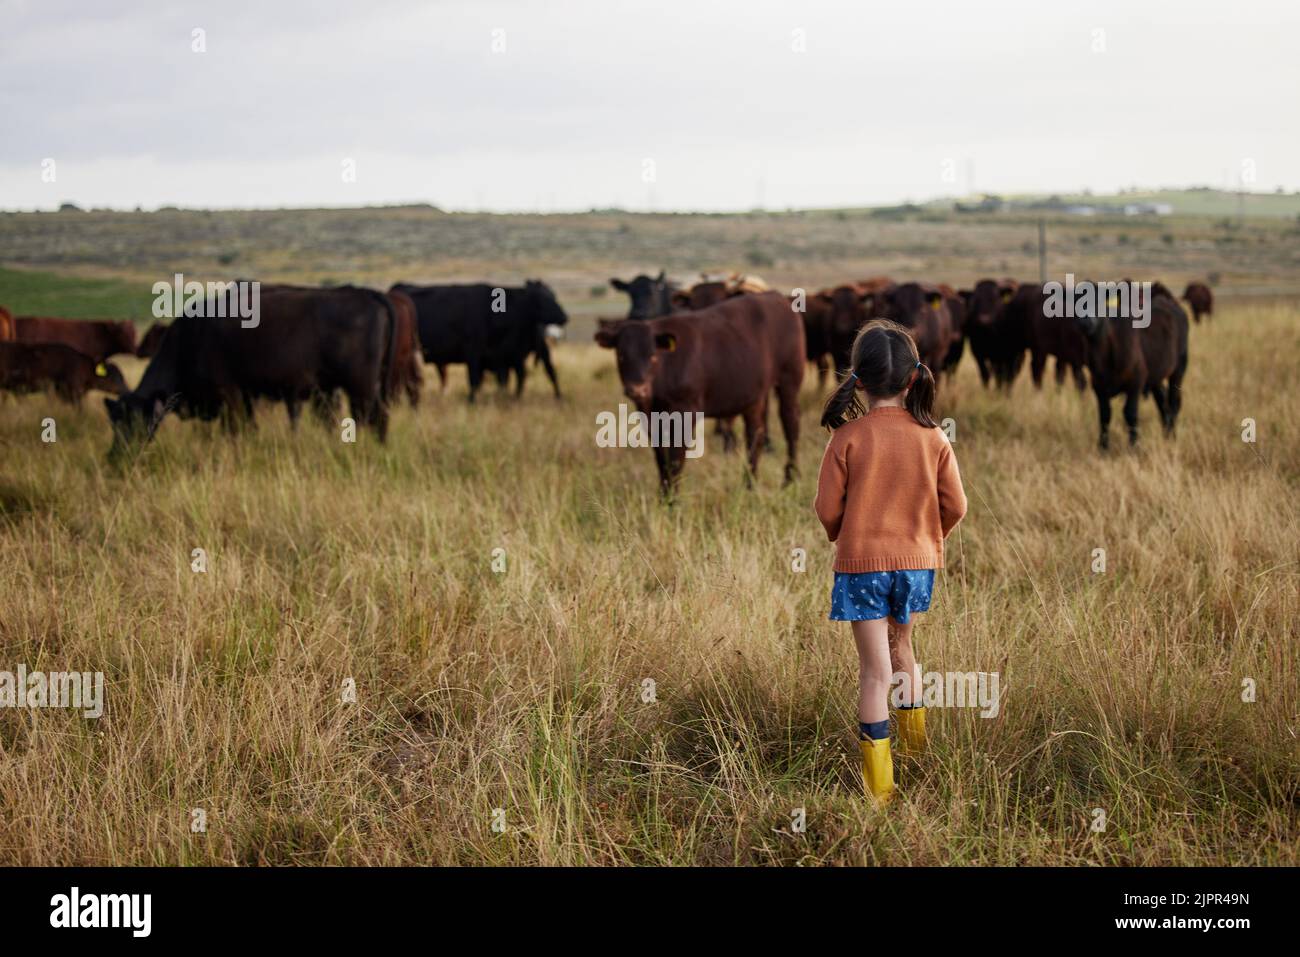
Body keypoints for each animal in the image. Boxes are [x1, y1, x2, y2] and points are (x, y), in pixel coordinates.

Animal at [387, 276, 566, 400]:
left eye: (554, 295)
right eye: (544, 298)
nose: (565, 316)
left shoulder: (502, 358)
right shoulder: (475, 353)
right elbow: (474, 380)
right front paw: (472, 401)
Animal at [595, 289, 800, 494]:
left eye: (652, 356)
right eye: (621, 355)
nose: (637, 389)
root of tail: (775, 296)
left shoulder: (685, 412)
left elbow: (675, 458)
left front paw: (672, 498)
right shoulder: (651, 417)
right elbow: (661, 458)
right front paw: (663, 495)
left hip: (789, 380)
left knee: (790, 427)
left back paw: (789, 479)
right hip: (754, 398)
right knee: (754, 435)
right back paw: (749, 485)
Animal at [1076, 287, 1190, 447]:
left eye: (1100, 302)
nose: (1086, 321)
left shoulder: (1136, 380)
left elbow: (1130, 413)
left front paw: (1134, 446)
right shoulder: (1098, 385)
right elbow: (1104, 415)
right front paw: (1103, 447)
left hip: (1179, 367)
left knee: (1174, 402)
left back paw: (1172, 436)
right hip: (1155, 374)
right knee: (1162, 402)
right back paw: (1166, 434)